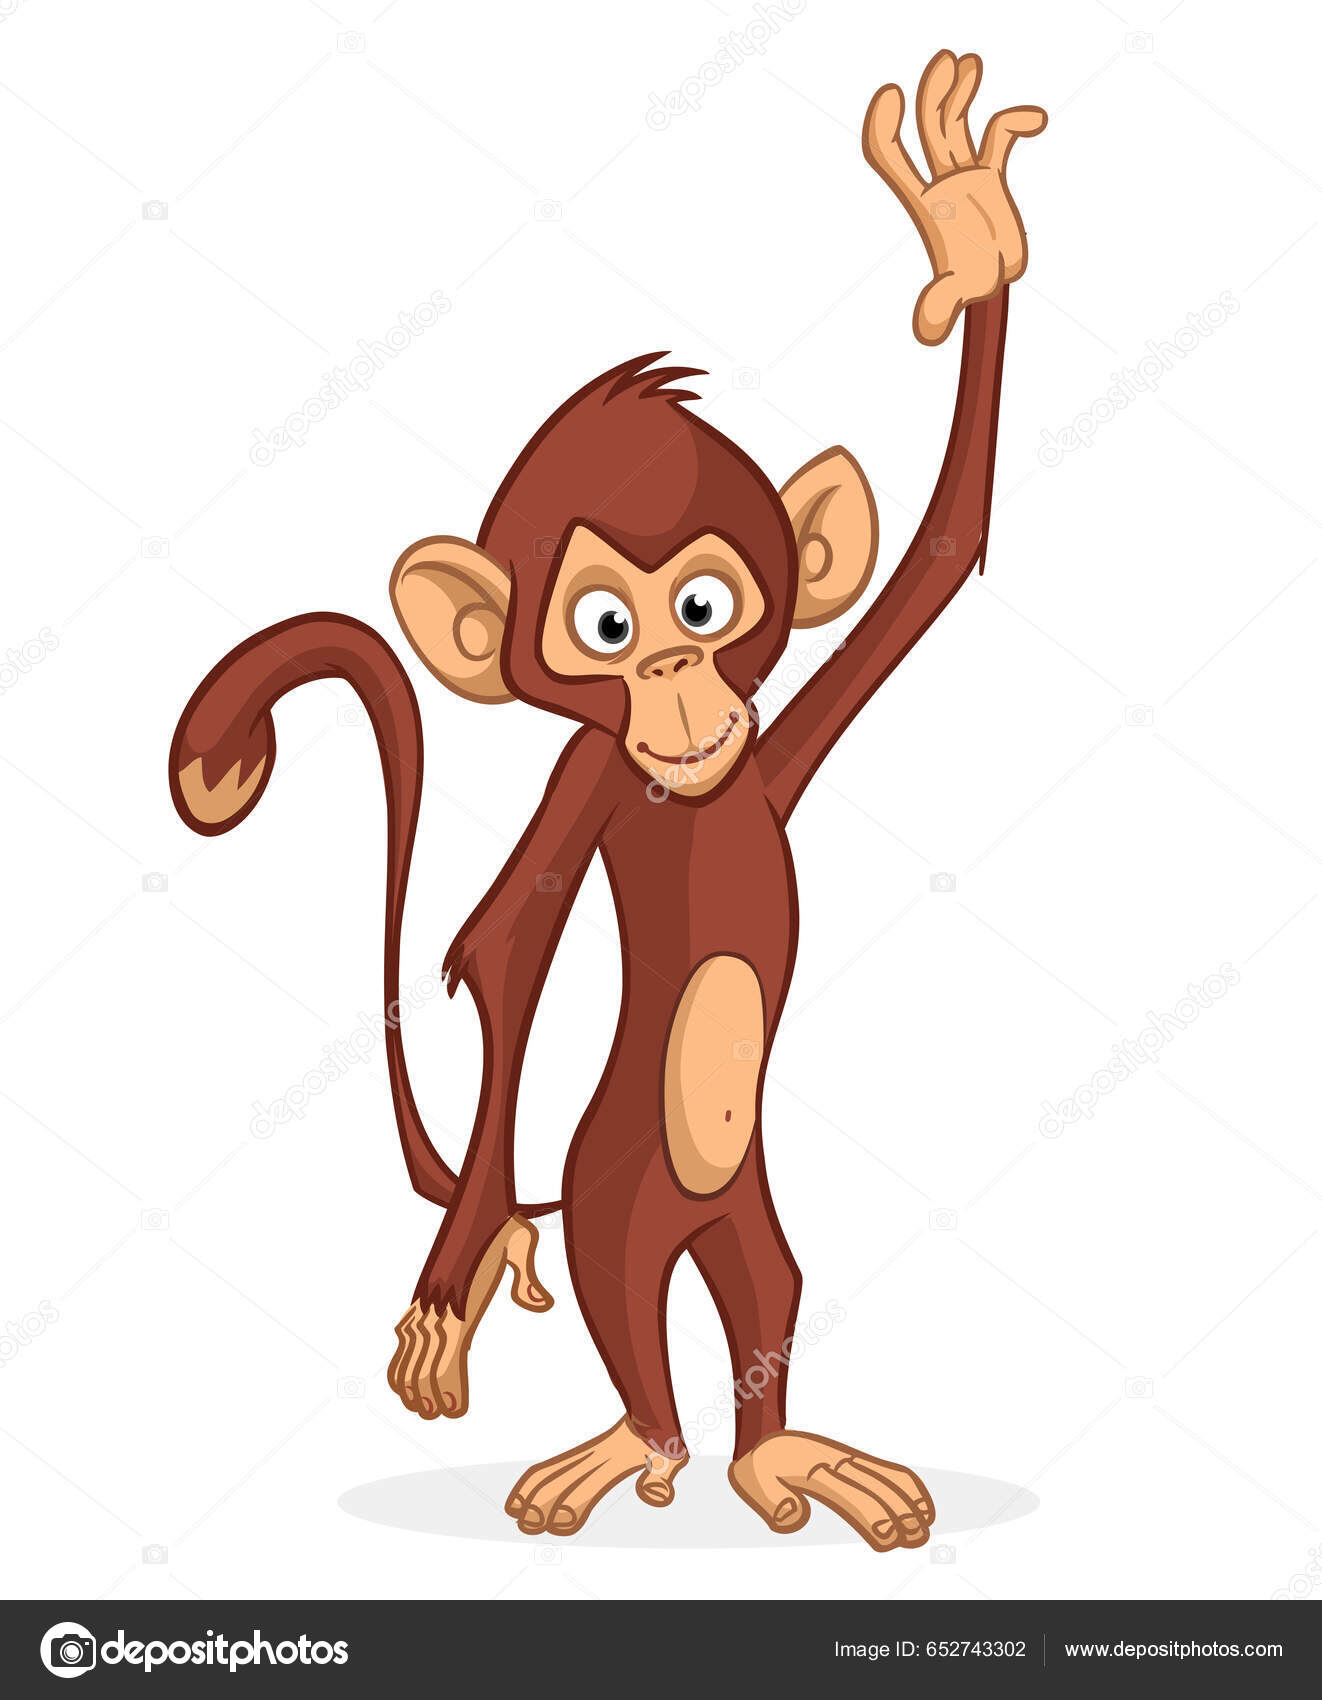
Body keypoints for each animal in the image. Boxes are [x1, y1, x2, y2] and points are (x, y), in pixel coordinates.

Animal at [170, 51, 1045, 1550]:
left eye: (702, 605)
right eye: (604, 627)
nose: (678, 681)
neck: (691, 792)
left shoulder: (773, 750)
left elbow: (938, 550)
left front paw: (968, 237)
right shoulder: (586, 782)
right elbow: (504, 952)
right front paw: (453, 1274)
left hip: (743, 1207)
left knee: (768, 1295)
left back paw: (777, 1451)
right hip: (616, 1194)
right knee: (624, 1306)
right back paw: (634, 1436)